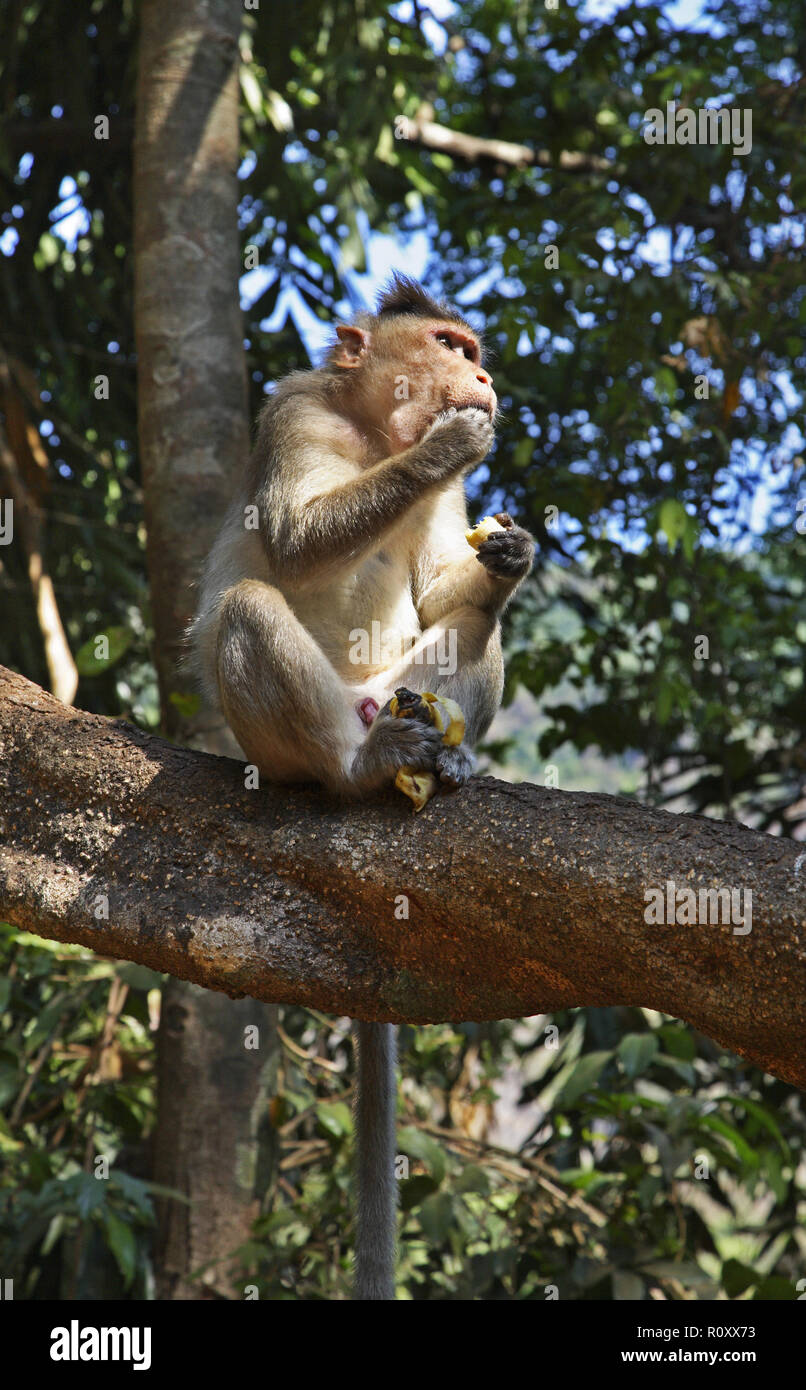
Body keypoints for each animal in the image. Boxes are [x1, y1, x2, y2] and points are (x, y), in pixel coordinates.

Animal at [189, 274, 534, 1300]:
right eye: (451, 344)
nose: (483, 378)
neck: (378, 436)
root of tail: (370, 713)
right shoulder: (294, 412)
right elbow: (295, 541)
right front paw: (454, 437)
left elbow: (450, 590)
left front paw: (516, 555)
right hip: (287, 739)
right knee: (249, 608)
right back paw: (358, 771)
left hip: (404, 690)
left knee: (472, 629)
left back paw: (444, 760)